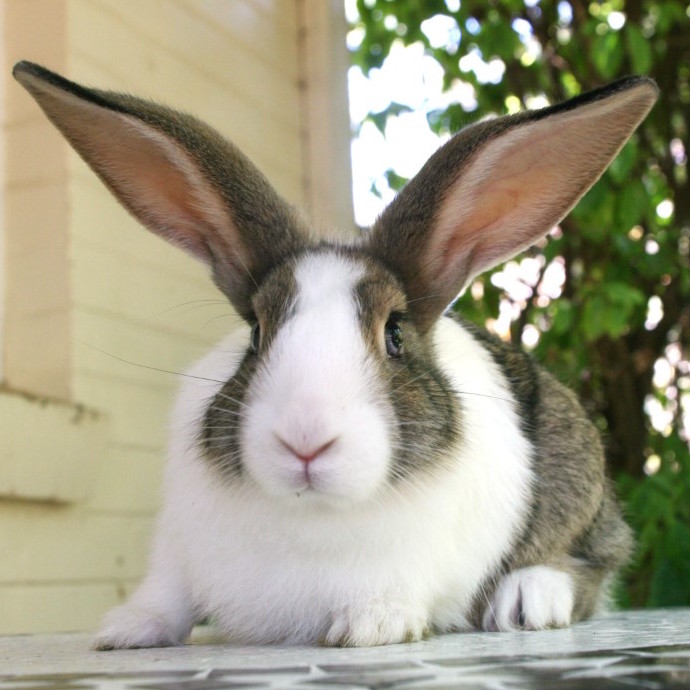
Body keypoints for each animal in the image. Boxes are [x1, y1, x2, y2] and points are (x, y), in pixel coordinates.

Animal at [13, 61, 657, 648]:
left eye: (394, 334)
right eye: (256, 333)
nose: (305, 440)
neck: (310, 515)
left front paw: (371, 626)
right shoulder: (177, 549)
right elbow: (167, 595)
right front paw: (125, 631)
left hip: (579, 474)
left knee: (591, 565)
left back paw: (526, 599)